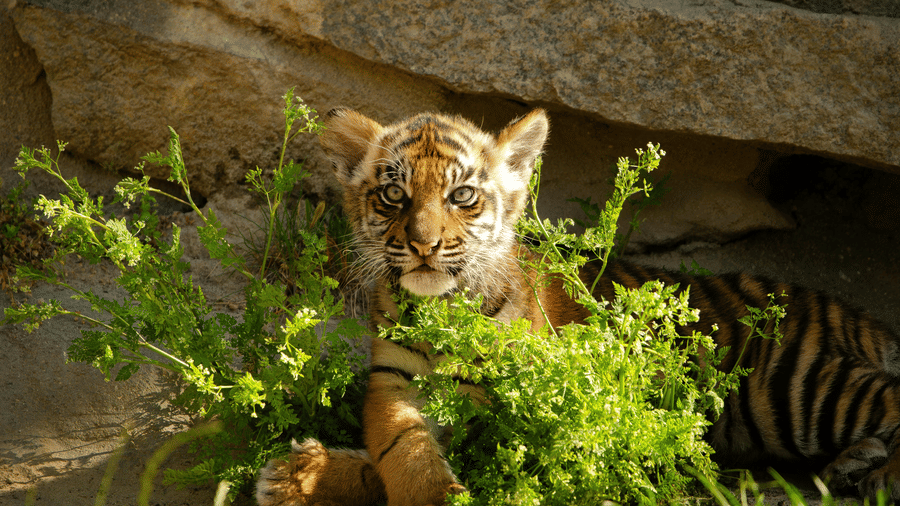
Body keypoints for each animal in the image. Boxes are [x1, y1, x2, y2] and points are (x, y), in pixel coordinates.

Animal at [255, 107, 900, 506]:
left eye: (462, 195)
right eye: (394, 193)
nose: (424, 245)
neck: (443, 311)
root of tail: (844, 311)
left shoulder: (517, 405)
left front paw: (301, 475)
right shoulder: (393, 380)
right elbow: (401, 449)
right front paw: (297, 476)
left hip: (797, 389)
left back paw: (881, 476)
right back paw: (854, 464)